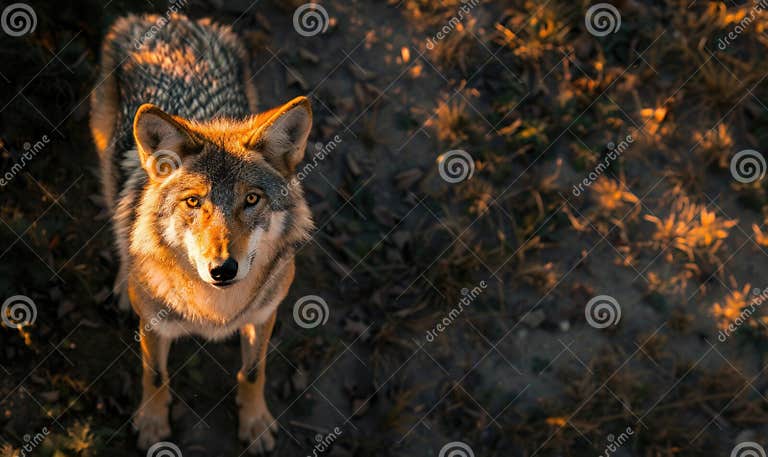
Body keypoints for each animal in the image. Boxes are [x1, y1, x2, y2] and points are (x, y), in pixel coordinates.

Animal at [89, 13, 314, 454]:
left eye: (252, 199)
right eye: (194, 202)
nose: (222, 269)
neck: (216, 312)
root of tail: (170, 21)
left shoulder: (265, 313)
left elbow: (253, 371)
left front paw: (255, 424)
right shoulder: (154, 325)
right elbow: (156, 375)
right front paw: (153, 426)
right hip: (106, 153)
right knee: (122, 219)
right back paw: (125, 279)